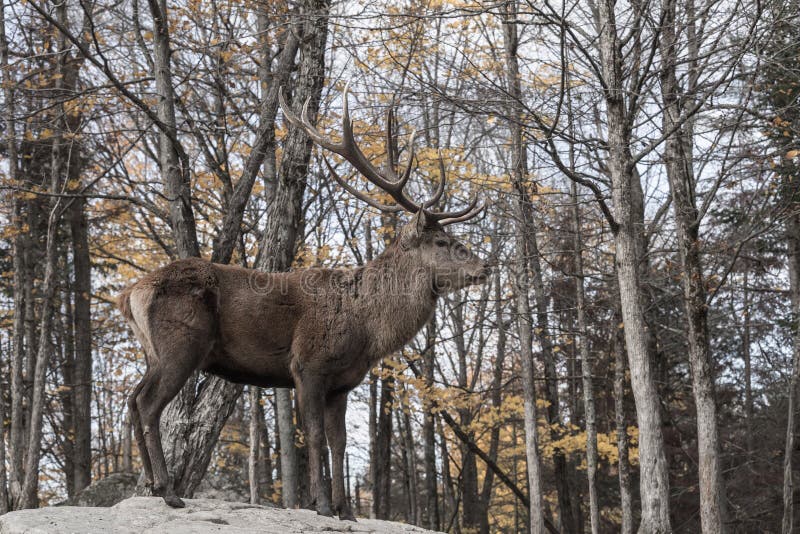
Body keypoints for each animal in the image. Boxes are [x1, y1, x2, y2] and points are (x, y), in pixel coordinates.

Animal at [117, 85, 489, 519]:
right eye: (443, 242)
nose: (485, 265)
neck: (367, 327)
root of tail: (130, 292)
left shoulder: (344, 383)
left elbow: (339, 443)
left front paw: (347, 511)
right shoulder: (307, 365)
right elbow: (313, 438)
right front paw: (323, 506)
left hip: (153, 351)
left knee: (132, 398)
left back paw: (152, 486)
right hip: (182, 343)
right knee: (149, 404)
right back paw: (169, 491)